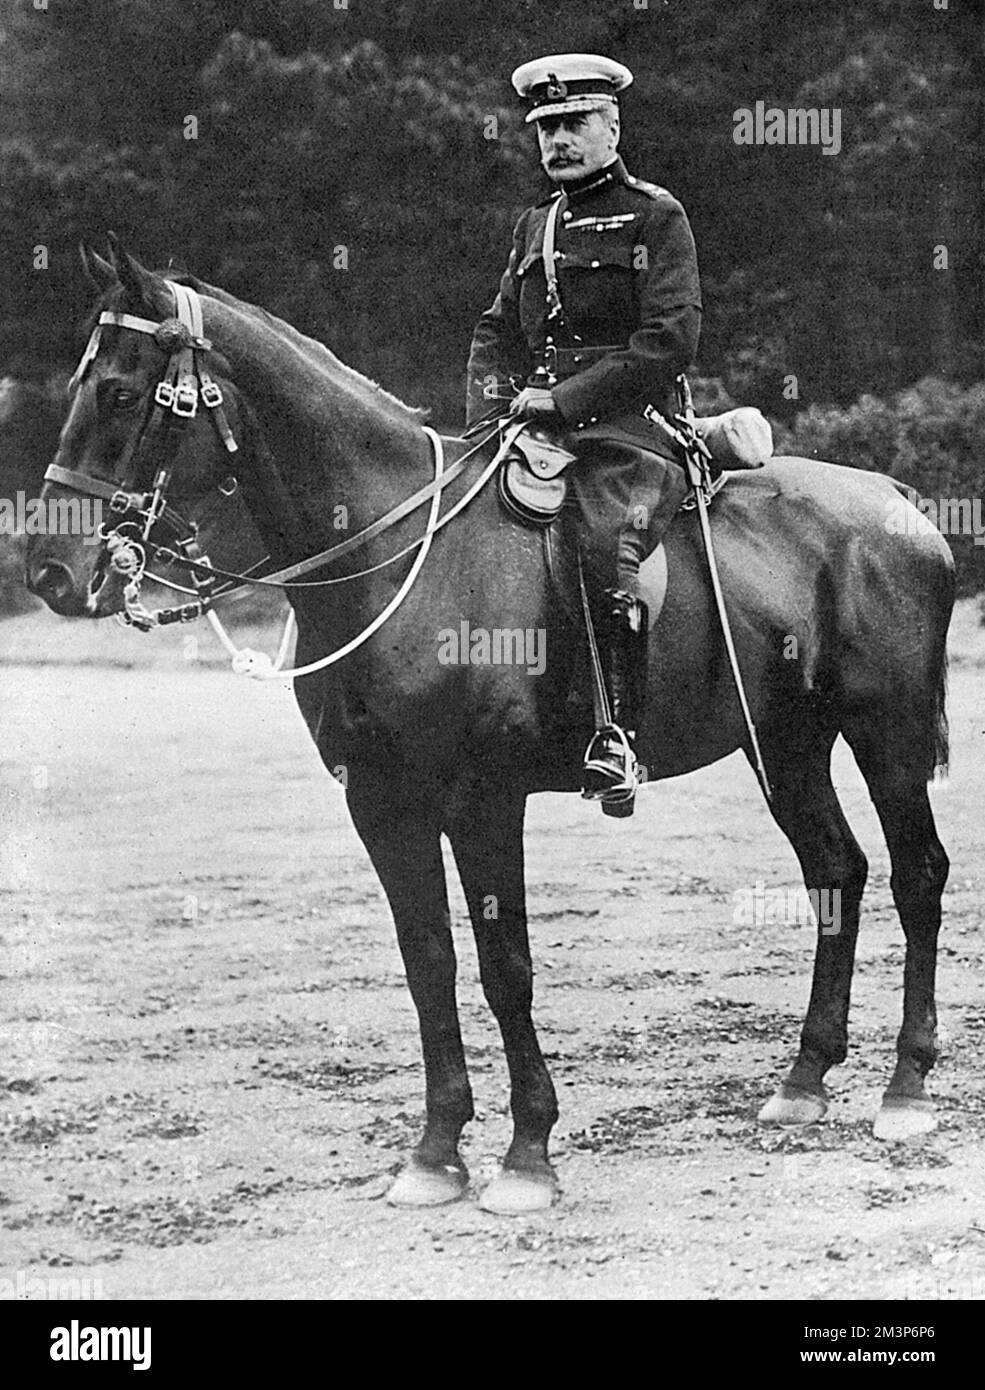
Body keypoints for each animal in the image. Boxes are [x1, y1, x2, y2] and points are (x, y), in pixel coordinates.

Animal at [28, 250, 950, 1217]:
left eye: (123, 393)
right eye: (82, 384)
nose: (49, 571)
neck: (400, 553)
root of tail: (893, 501)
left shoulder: (482, 801)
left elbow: (505, 967)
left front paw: (526, 1153)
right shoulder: (380, 803)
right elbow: (428, 963)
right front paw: (435, 1153)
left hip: (886, 736)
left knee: (917, 875)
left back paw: (905, 1088)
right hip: (784, 743)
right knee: (835, 872)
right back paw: (804, 1079)